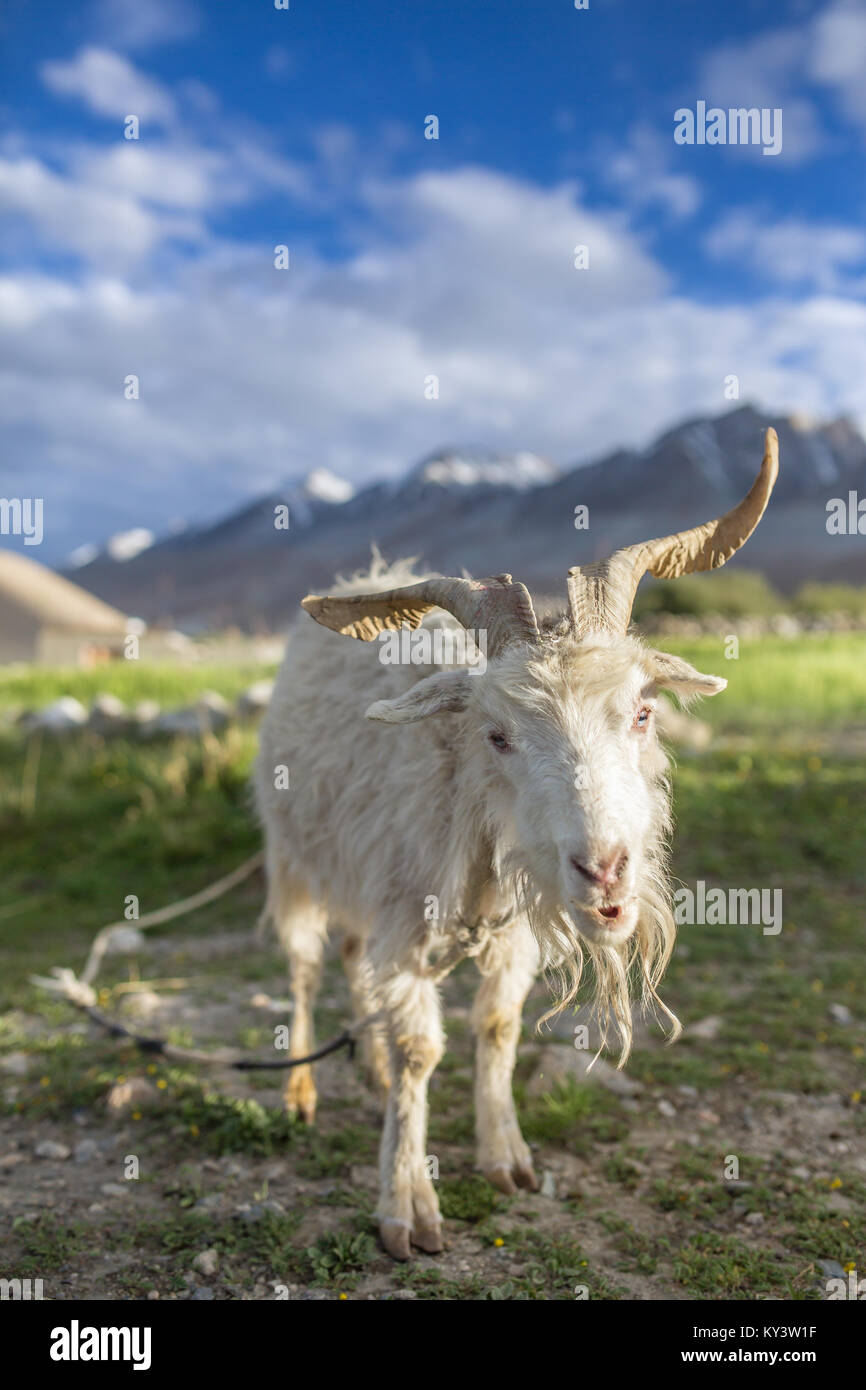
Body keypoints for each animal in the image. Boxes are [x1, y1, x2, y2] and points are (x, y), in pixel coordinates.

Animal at [254, 428, 779, 1260]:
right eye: (496, 734)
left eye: (643, 713)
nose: (604, 871)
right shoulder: (405, 917)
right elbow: (419, 1051)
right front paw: (406, 1205)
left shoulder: (504, 930)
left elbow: (496, 1027)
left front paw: (507, 1158)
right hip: (294, 856)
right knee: (305, 967)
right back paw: (300, 1092)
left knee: (352, 959)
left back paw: (369, 1073)